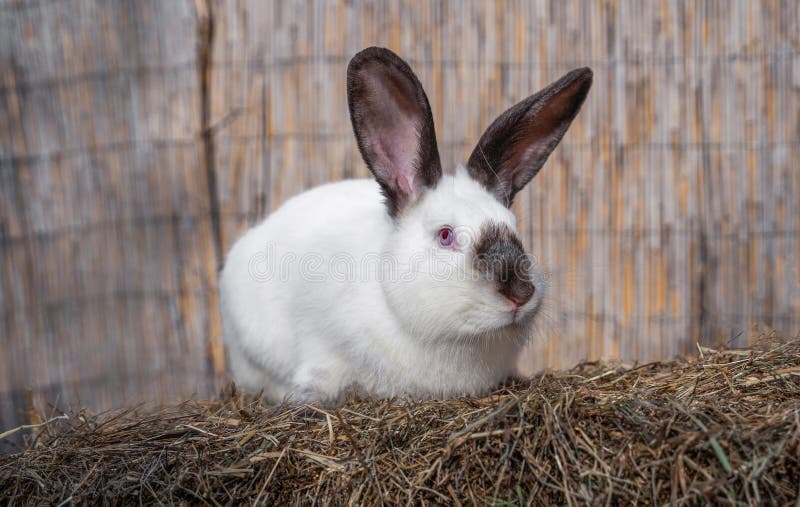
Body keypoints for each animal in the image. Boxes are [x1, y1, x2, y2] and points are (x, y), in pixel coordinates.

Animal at [219, 47, 592, 405]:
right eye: (446, 235)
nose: (519, 293)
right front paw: (305, 401)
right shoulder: (321, 343)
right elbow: (317, 376)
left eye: (516, 230)